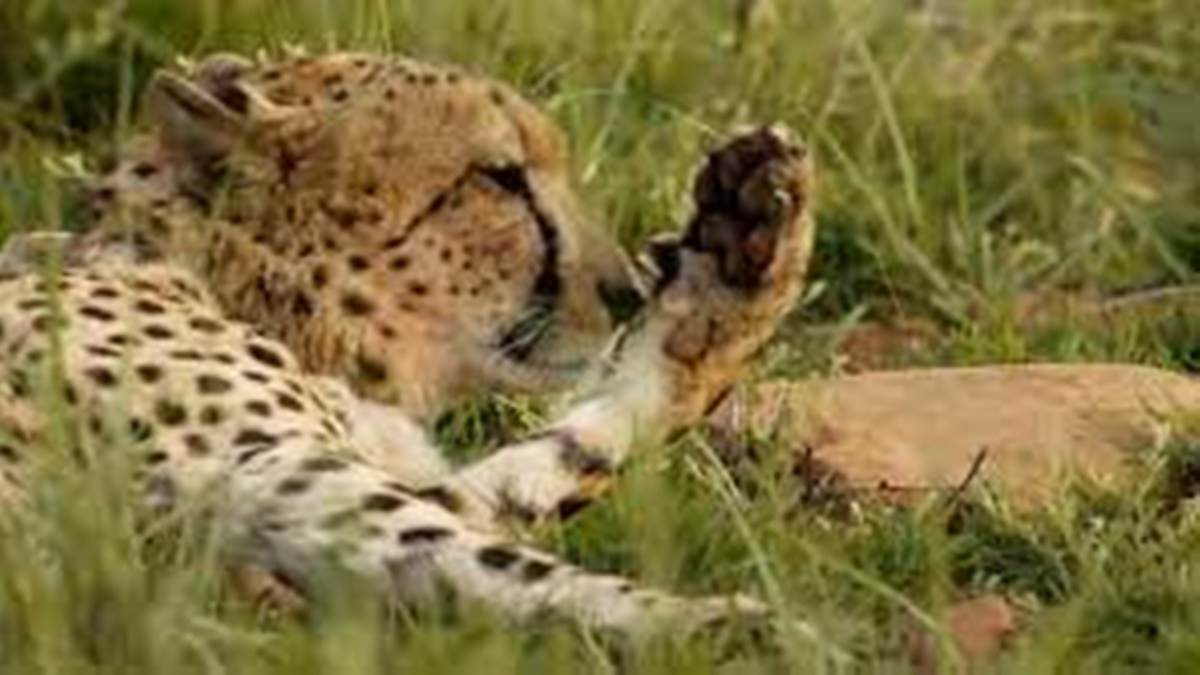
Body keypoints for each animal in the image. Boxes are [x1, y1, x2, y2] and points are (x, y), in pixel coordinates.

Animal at [0, 50, 815, 637]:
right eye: (501, 178)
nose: (625, 293)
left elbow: (569, 453)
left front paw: (739, 259)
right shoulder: (260, 468)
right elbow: (502, 555)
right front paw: (718, 625)